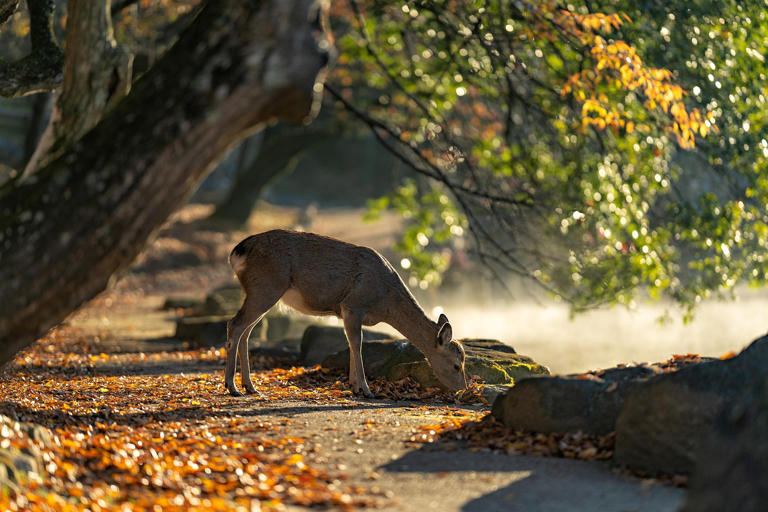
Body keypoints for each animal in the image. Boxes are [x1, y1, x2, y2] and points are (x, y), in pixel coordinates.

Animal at [224, 229, 468, 398]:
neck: (385, 302)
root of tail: (237, 252)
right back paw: (232, 387)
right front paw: (367, 390)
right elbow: (357, 343)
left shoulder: (344, 311)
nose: (463, 388)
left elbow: (350, 343)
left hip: (260, 292)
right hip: (266, 287)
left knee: (246, 331)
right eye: (457, 365)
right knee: (234, 325)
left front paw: (355, 387)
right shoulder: (353, 305)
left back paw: (250, 387)